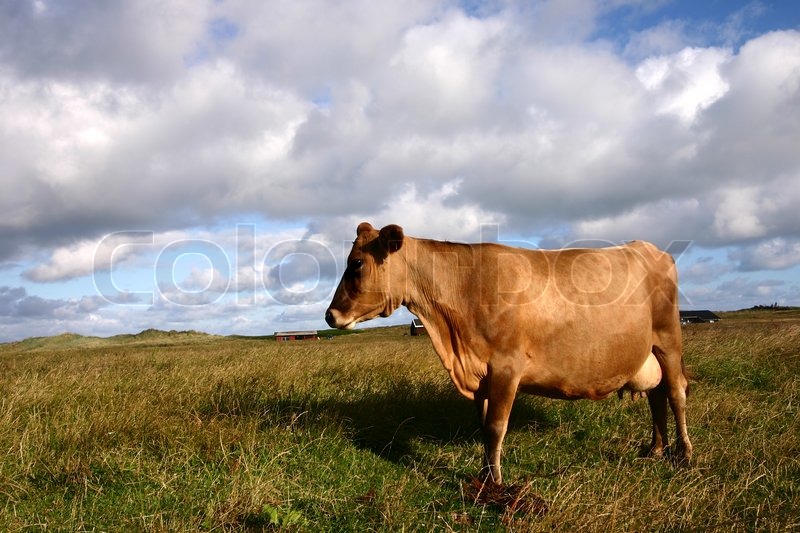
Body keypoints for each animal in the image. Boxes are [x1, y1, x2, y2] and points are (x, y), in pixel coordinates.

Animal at [325, 222, 692, 484]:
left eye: (356, 262)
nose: (330, 316)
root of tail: (648, 248)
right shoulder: (481, 375)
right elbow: (483, 425)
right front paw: (484, 475)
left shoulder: (506, 366)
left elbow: (495, 426)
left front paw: (494, 482)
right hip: (649, 351)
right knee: (657, 397)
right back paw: (655, 449)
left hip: (669, 340)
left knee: (675, 394)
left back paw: (684, 453)